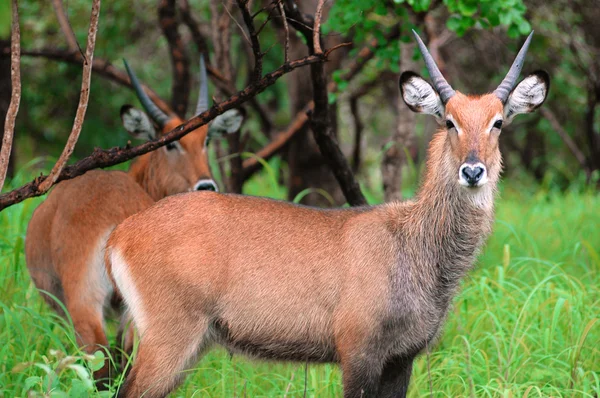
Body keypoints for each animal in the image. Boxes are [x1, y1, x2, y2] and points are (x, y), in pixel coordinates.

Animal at [105, 31, 548, 398]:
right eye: (450, 121)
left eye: (498, 122)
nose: (473, 171)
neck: (414, 244)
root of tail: (120, 233)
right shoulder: (358, 352)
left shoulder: (401, 359)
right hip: (169, 339)